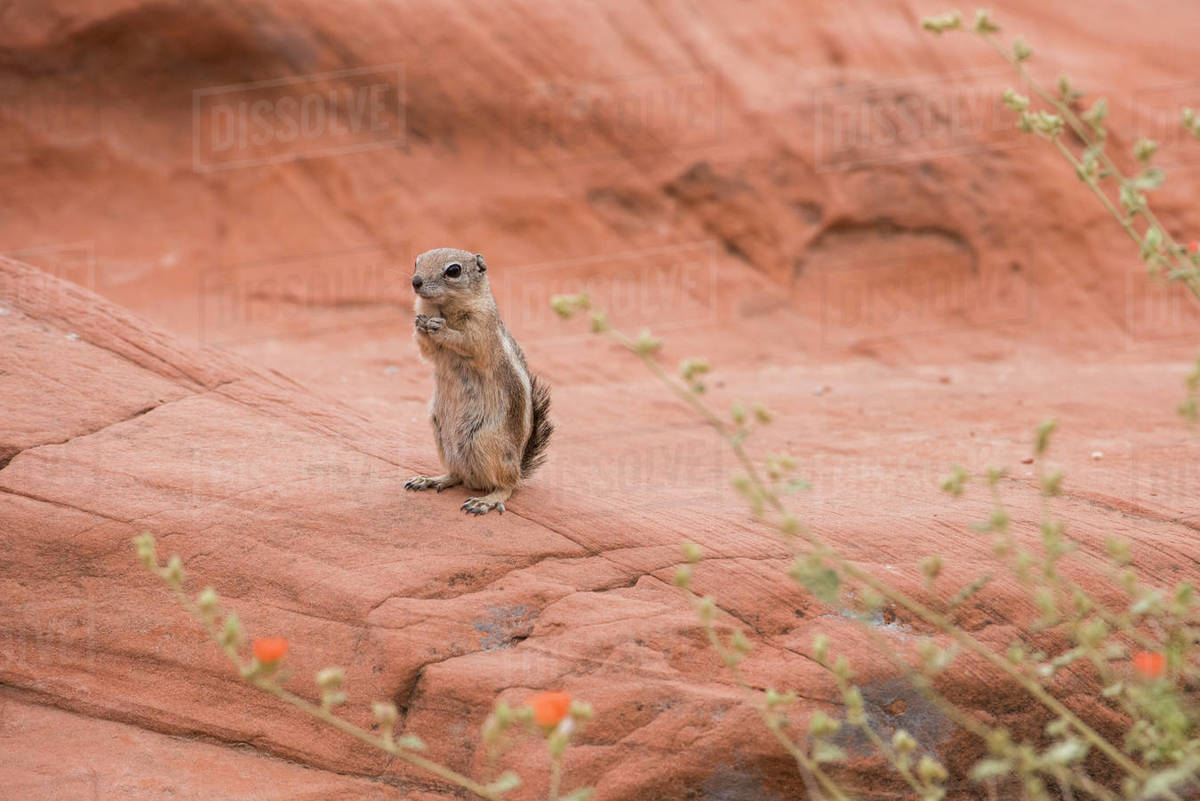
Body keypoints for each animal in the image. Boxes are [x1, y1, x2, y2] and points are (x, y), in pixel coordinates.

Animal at [405, 247, 552, 515]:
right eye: (416, 263)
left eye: (453, 270)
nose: (416, 281)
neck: (443, 308)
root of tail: (518, 465)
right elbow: (426, 350)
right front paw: (420, 323)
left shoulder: (481, 327)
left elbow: (468, 343)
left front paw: (440, 328)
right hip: (442, 438)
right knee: (458, 475)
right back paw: (431, 479)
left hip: (484, 442)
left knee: (507, 486)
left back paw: (486, 500)